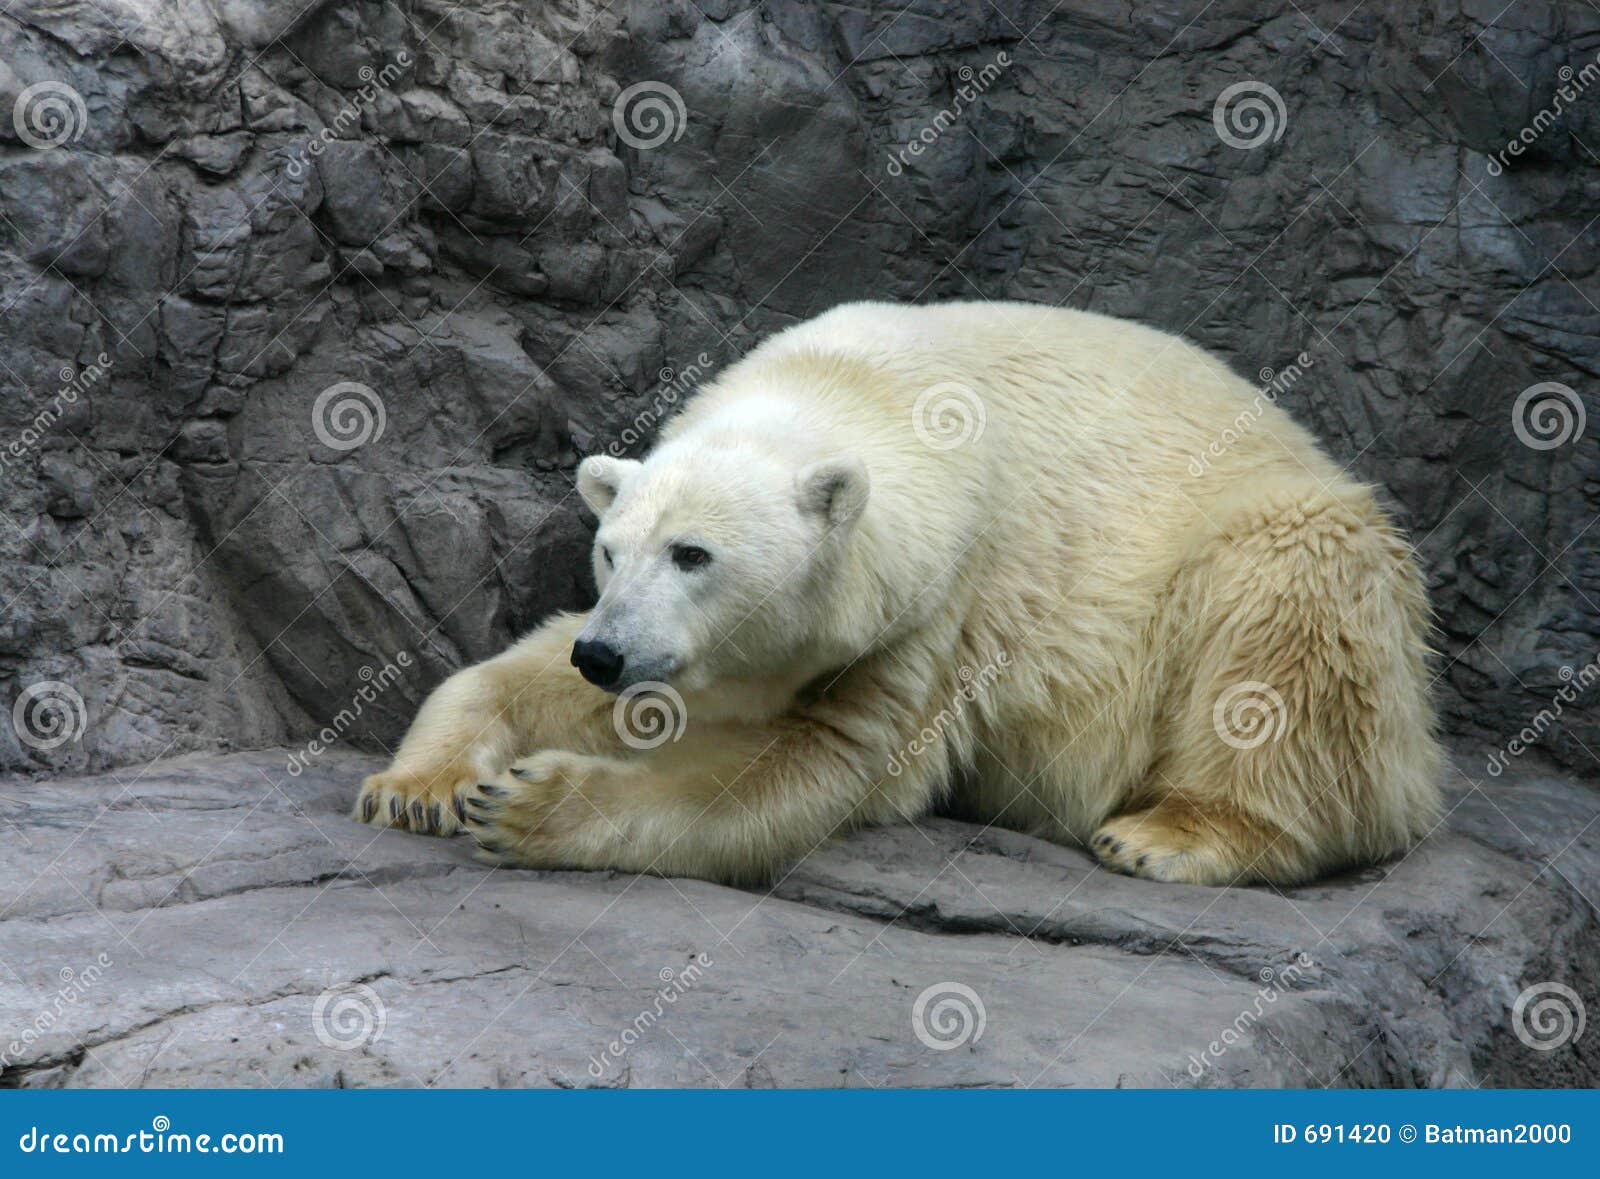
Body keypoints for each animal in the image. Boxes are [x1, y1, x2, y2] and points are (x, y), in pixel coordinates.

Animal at [354, 300, 1442, 887]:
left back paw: (1167, 835)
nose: (607, 655)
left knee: (1287, 621)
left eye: (695, 554)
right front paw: (422, 783)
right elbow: (531, 672)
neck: (863, 388)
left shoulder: (938, 600)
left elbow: (806, 770)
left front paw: (526, 803)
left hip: (1278, 538)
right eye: (612, 553)